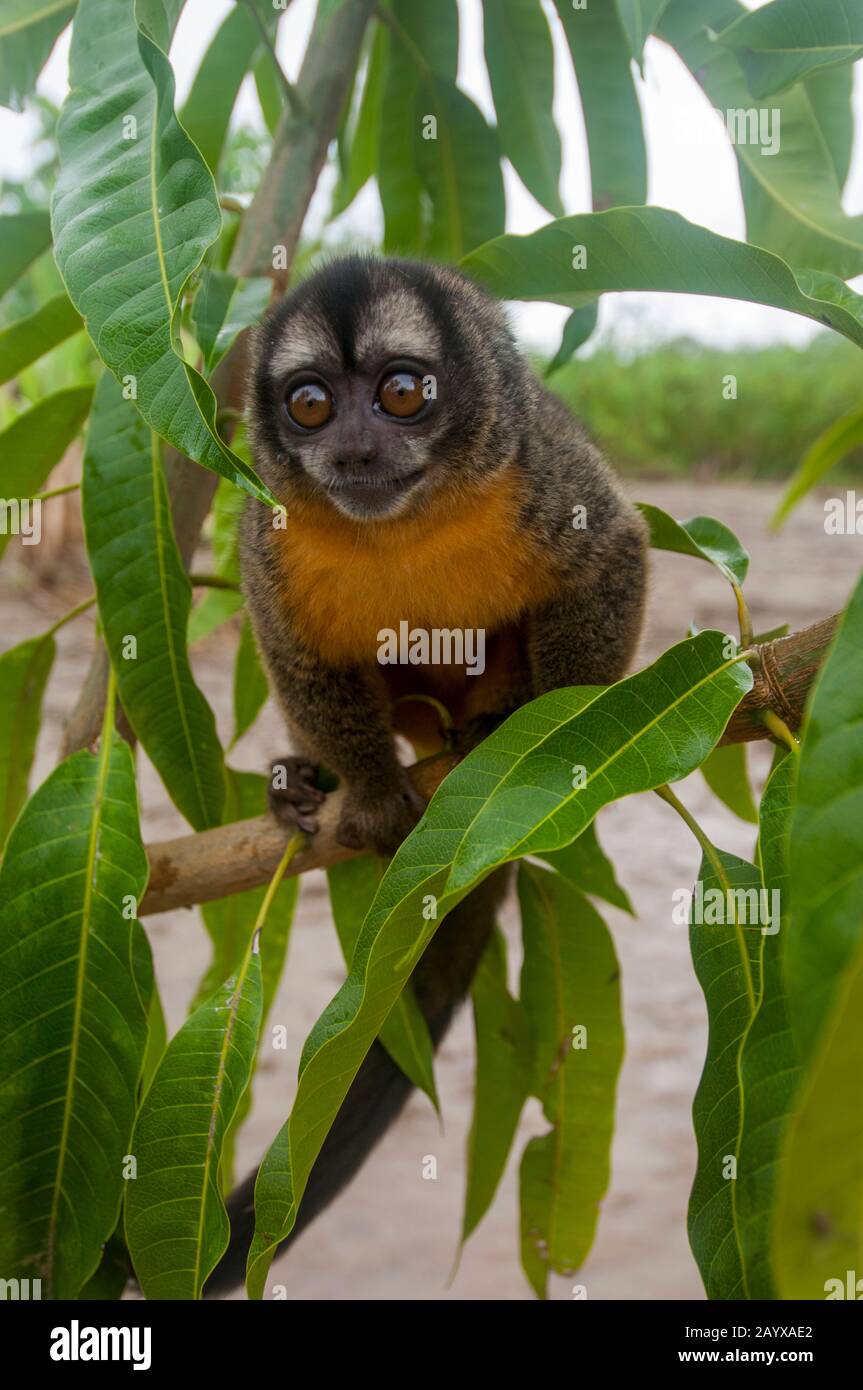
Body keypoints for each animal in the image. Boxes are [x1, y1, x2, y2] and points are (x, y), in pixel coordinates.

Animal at [206, 255, 648, 1296]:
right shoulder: (265, 533)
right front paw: (363, 789)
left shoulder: (538, 468)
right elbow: (289, 645)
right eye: (311, 405)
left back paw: (486, 723)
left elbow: (609, 555)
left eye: (401, 393)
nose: (356, 448)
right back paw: (304, 781)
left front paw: (553, 748)